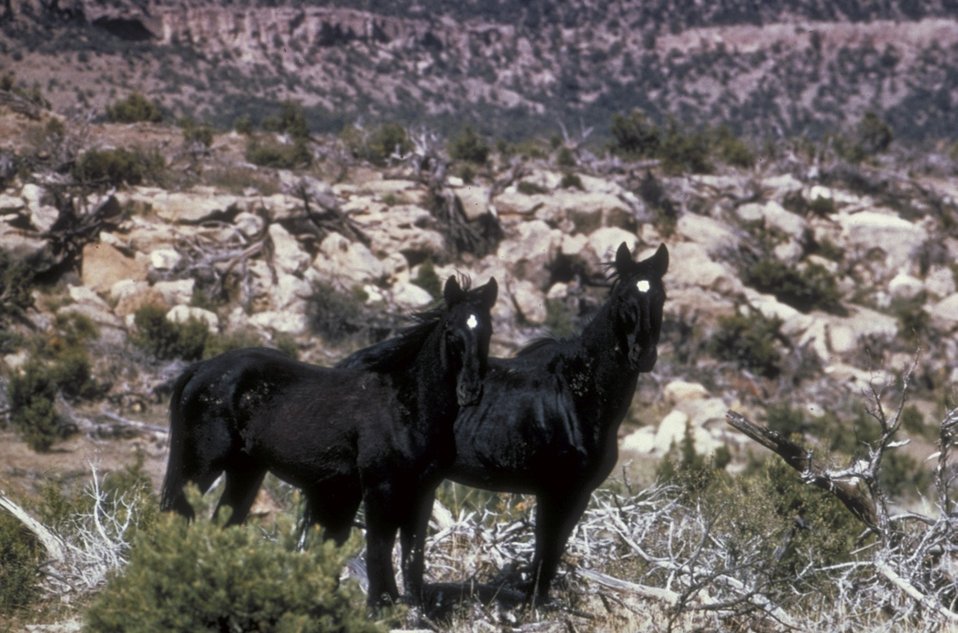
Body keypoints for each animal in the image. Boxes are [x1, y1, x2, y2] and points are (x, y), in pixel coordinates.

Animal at [160, 275, 498, 607]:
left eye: (487, 330)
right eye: (451, 331)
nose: (471, 390)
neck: (407, 405)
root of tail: (201, 369)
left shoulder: (422, 491)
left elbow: (412, 553)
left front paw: (414, 608)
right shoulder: (380, 487)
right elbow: (379, 547)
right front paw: (380, 605)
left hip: (246, 471)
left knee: (223, 523)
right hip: (200, 466)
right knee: (177, 514)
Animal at [341, 242, 668, 604]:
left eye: (661, 296)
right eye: (624, 298)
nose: (644, 355)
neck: (577, 394)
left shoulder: (577, 495)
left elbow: (552, 549)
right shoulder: (557, 492)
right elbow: (546, 548)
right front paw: (533, 603)